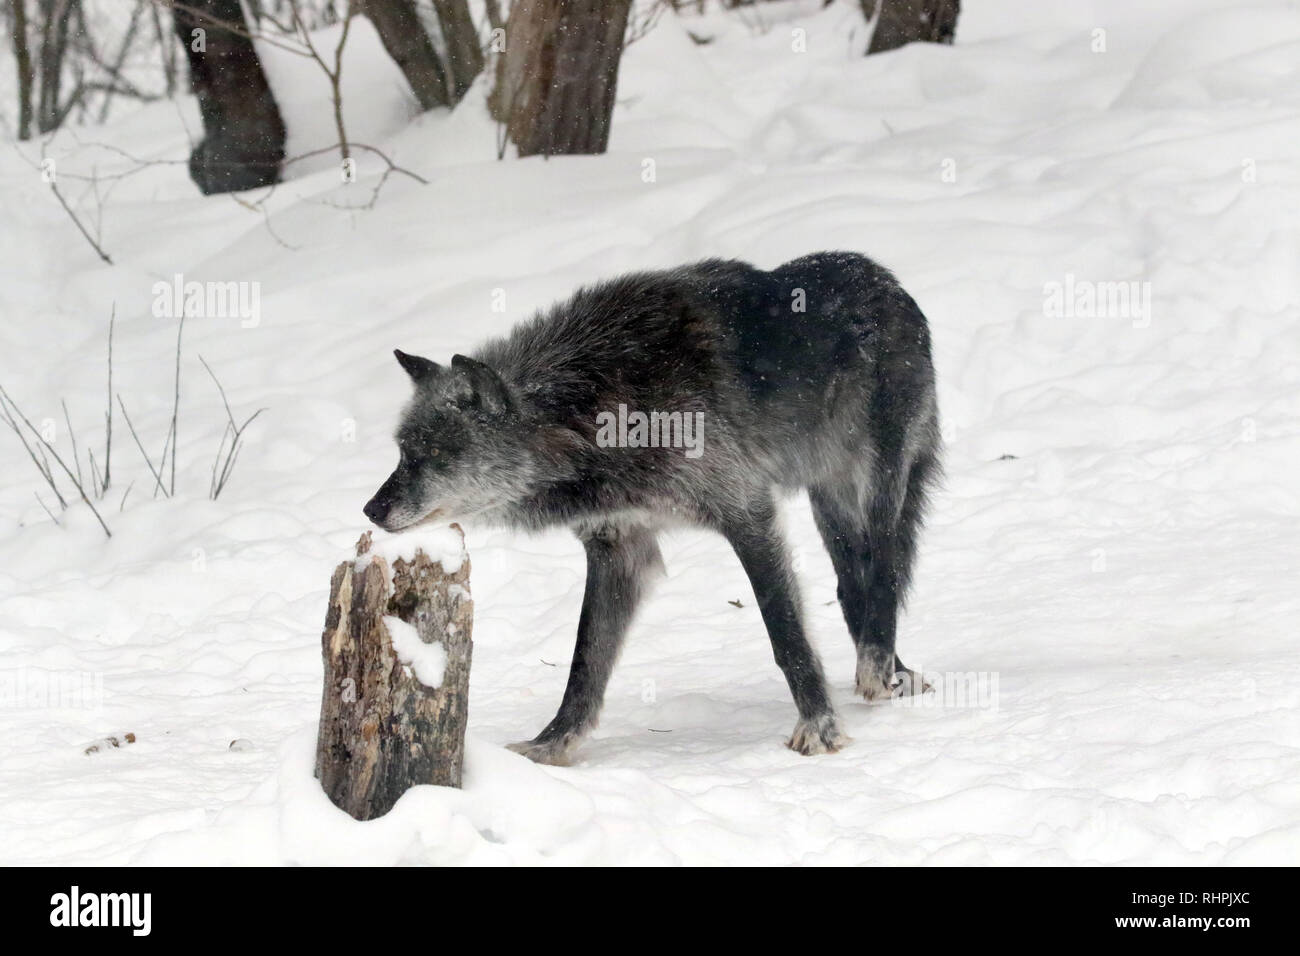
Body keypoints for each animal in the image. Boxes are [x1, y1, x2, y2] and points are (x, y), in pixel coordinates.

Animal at [364, 252, 940, 765]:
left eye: (429, 455)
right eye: (402, 451)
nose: (372, 508)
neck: (596, 413)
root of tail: (889, 281)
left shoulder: (747, 514)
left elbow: (786, 636)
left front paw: (819, 729)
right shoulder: (619, 546)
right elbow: (585, 660)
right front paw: (551, 746)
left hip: (878, 487)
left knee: (884, 571)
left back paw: (877, 668)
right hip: (830, 504)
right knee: (851, 584)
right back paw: (893, 671)